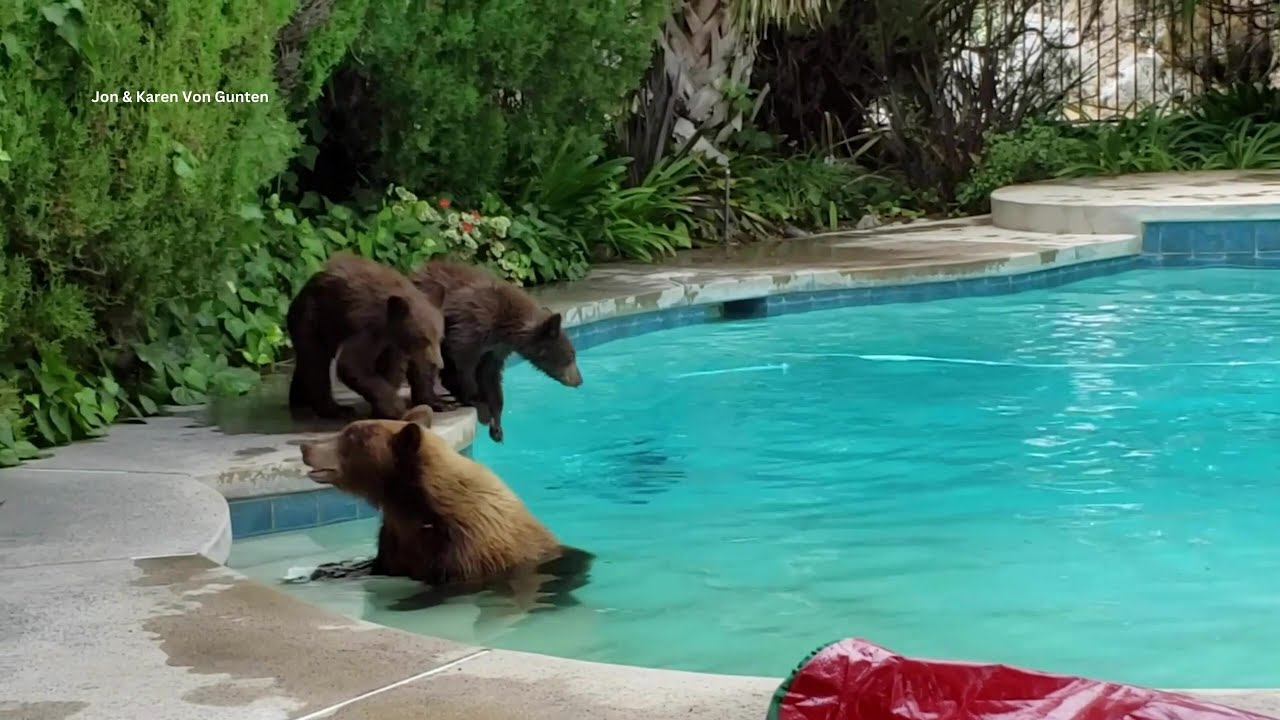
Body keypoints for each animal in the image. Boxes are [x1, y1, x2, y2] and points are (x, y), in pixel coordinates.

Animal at [287, 252, 445, 421]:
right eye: (423, 339)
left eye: (440, 338)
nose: (439, 364)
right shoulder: (370, 328)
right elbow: (352, 363)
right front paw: (394, 408)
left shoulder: (395, 343)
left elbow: (404, 366)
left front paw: (436, 402)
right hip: (313, 319)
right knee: (315, 362)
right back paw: (335, 409)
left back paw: (299, 399)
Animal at [298, 405, 594, 611]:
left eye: (350, 436)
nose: (305, 446)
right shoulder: (397, 535)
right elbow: (377, 564)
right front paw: (325, 570)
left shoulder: (467, 545)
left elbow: (452, 583)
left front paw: (406, 602)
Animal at [406, 259, 583, 443]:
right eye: (571, 357)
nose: (579, 380)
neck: (506, 325)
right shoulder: (471, 326)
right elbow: (461, 362)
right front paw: (475, 401)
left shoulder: (495, 350)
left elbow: (490, 377)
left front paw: (496, 425)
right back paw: (437, 402)